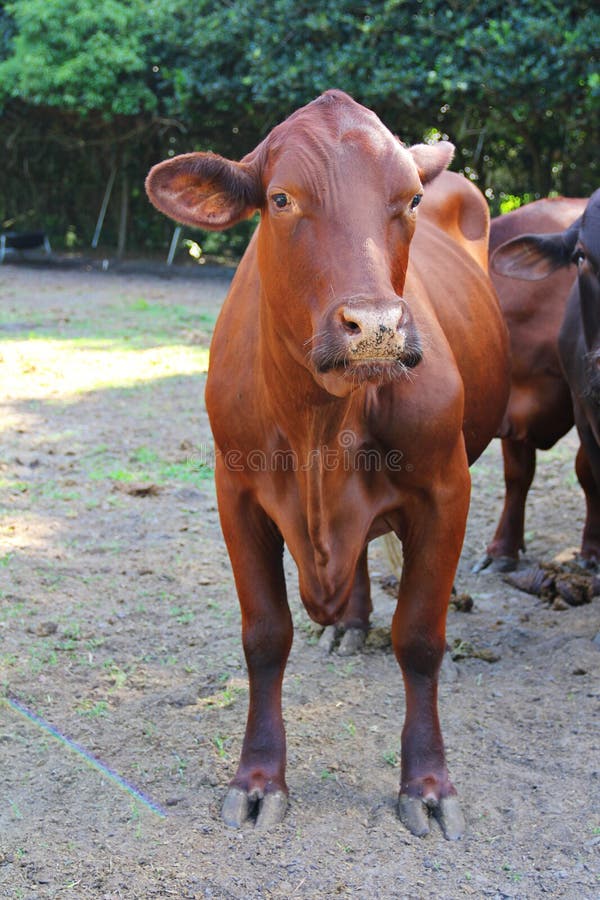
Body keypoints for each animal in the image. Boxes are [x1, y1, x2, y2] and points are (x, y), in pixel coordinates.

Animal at [146, 90, 509, 840]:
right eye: (281, 198)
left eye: (409, 198)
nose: (375, 327)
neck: (320, 427)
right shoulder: (235, 492)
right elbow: (264, 635)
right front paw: (258, 779)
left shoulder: (446, 487)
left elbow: (419, 639)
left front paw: (428, 785)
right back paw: (349, 622)